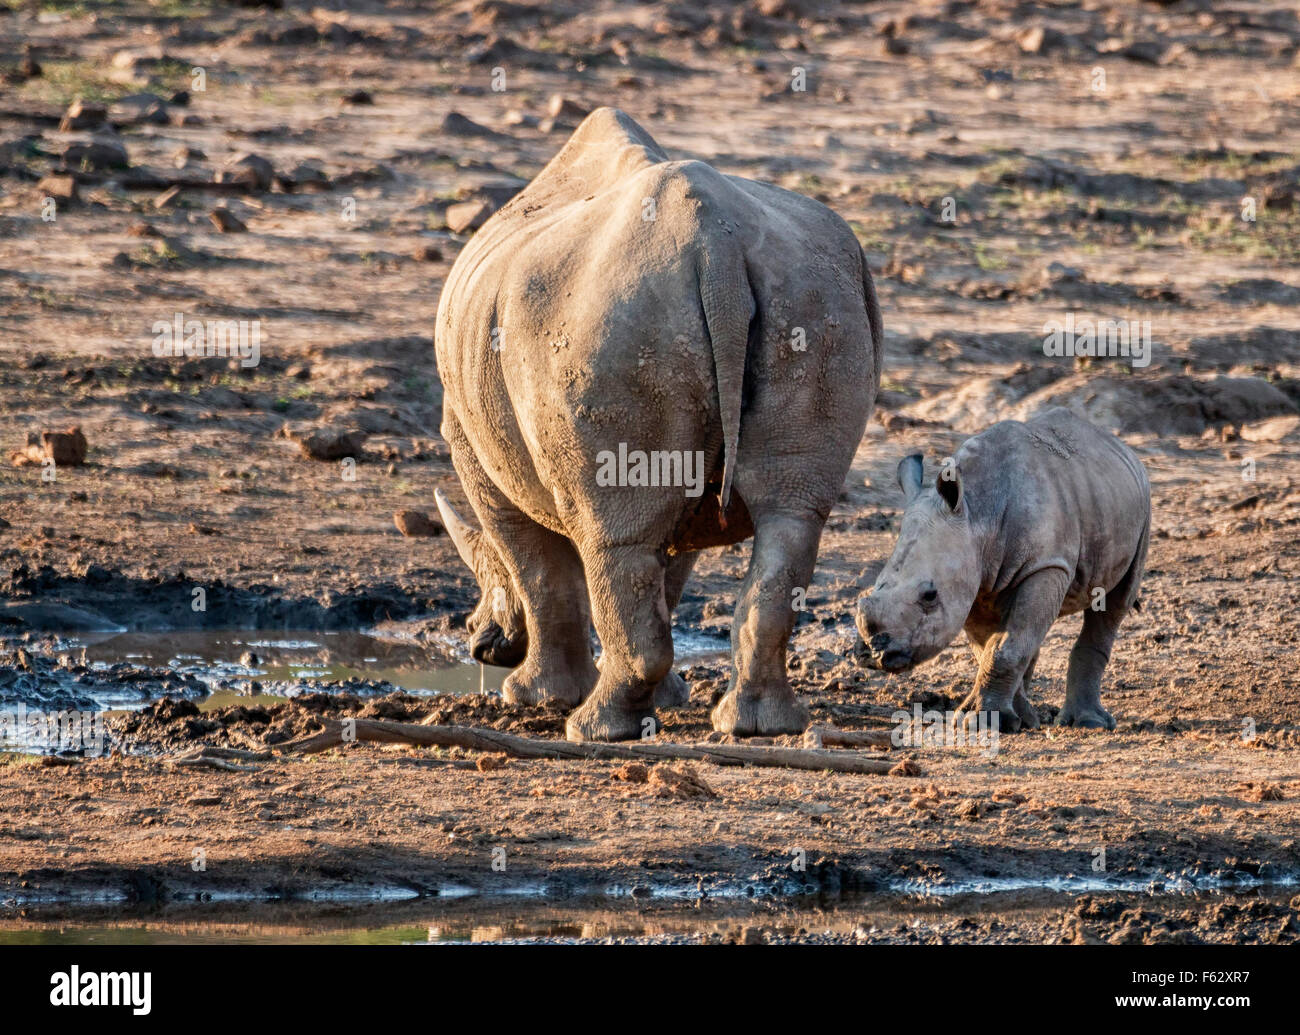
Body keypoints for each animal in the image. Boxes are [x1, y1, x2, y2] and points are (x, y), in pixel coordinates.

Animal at [434, 108, 882, 741]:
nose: (481, 646)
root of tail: (714, 241)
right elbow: (669, 560)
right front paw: (669, 699)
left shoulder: (473, 449)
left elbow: (537, 566)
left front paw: (532, 697)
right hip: (814, 301)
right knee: (789, 515)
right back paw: (757, 726)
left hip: (600, 322)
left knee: (612, 537)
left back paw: (593, 728)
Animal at [855, 408, 1150, 731]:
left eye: (929, 596)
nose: (876, 655)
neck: (977, 514)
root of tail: (1121, 446)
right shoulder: (972, 579)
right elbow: (990, 646)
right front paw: (1013, 718)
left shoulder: (1045, 565)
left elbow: (1003, 646)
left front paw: (986, 721)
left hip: (1141, 507)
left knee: (1115, 602)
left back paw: (1089, 722)